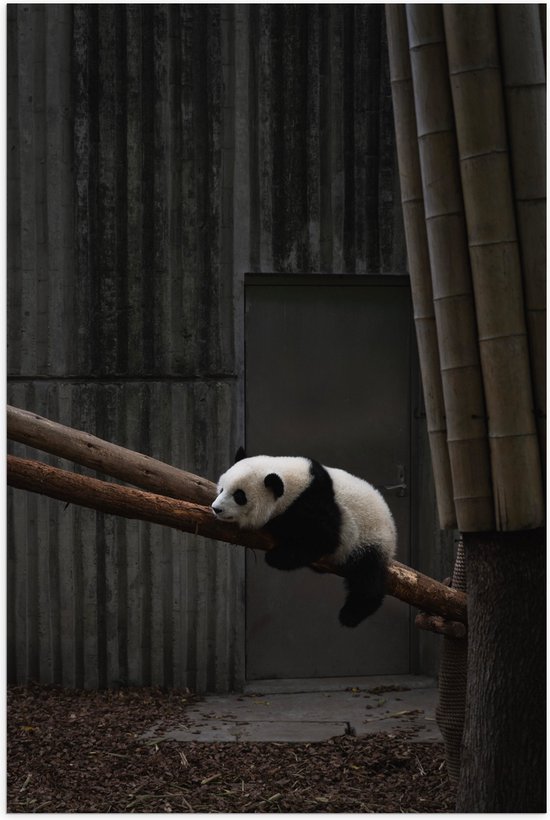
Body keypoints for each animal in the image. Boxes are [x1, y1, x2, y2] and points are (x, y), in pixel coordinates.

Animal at [211, 454, 397, 627]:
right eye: (221, 489)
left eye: (239, 496)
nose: (216, 509)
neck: (295, 485)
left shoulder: (315, 503)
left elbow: (323, 538)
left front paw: (276, 554)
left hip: (370, 538)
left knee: (367, 576)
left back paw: (351, 614)